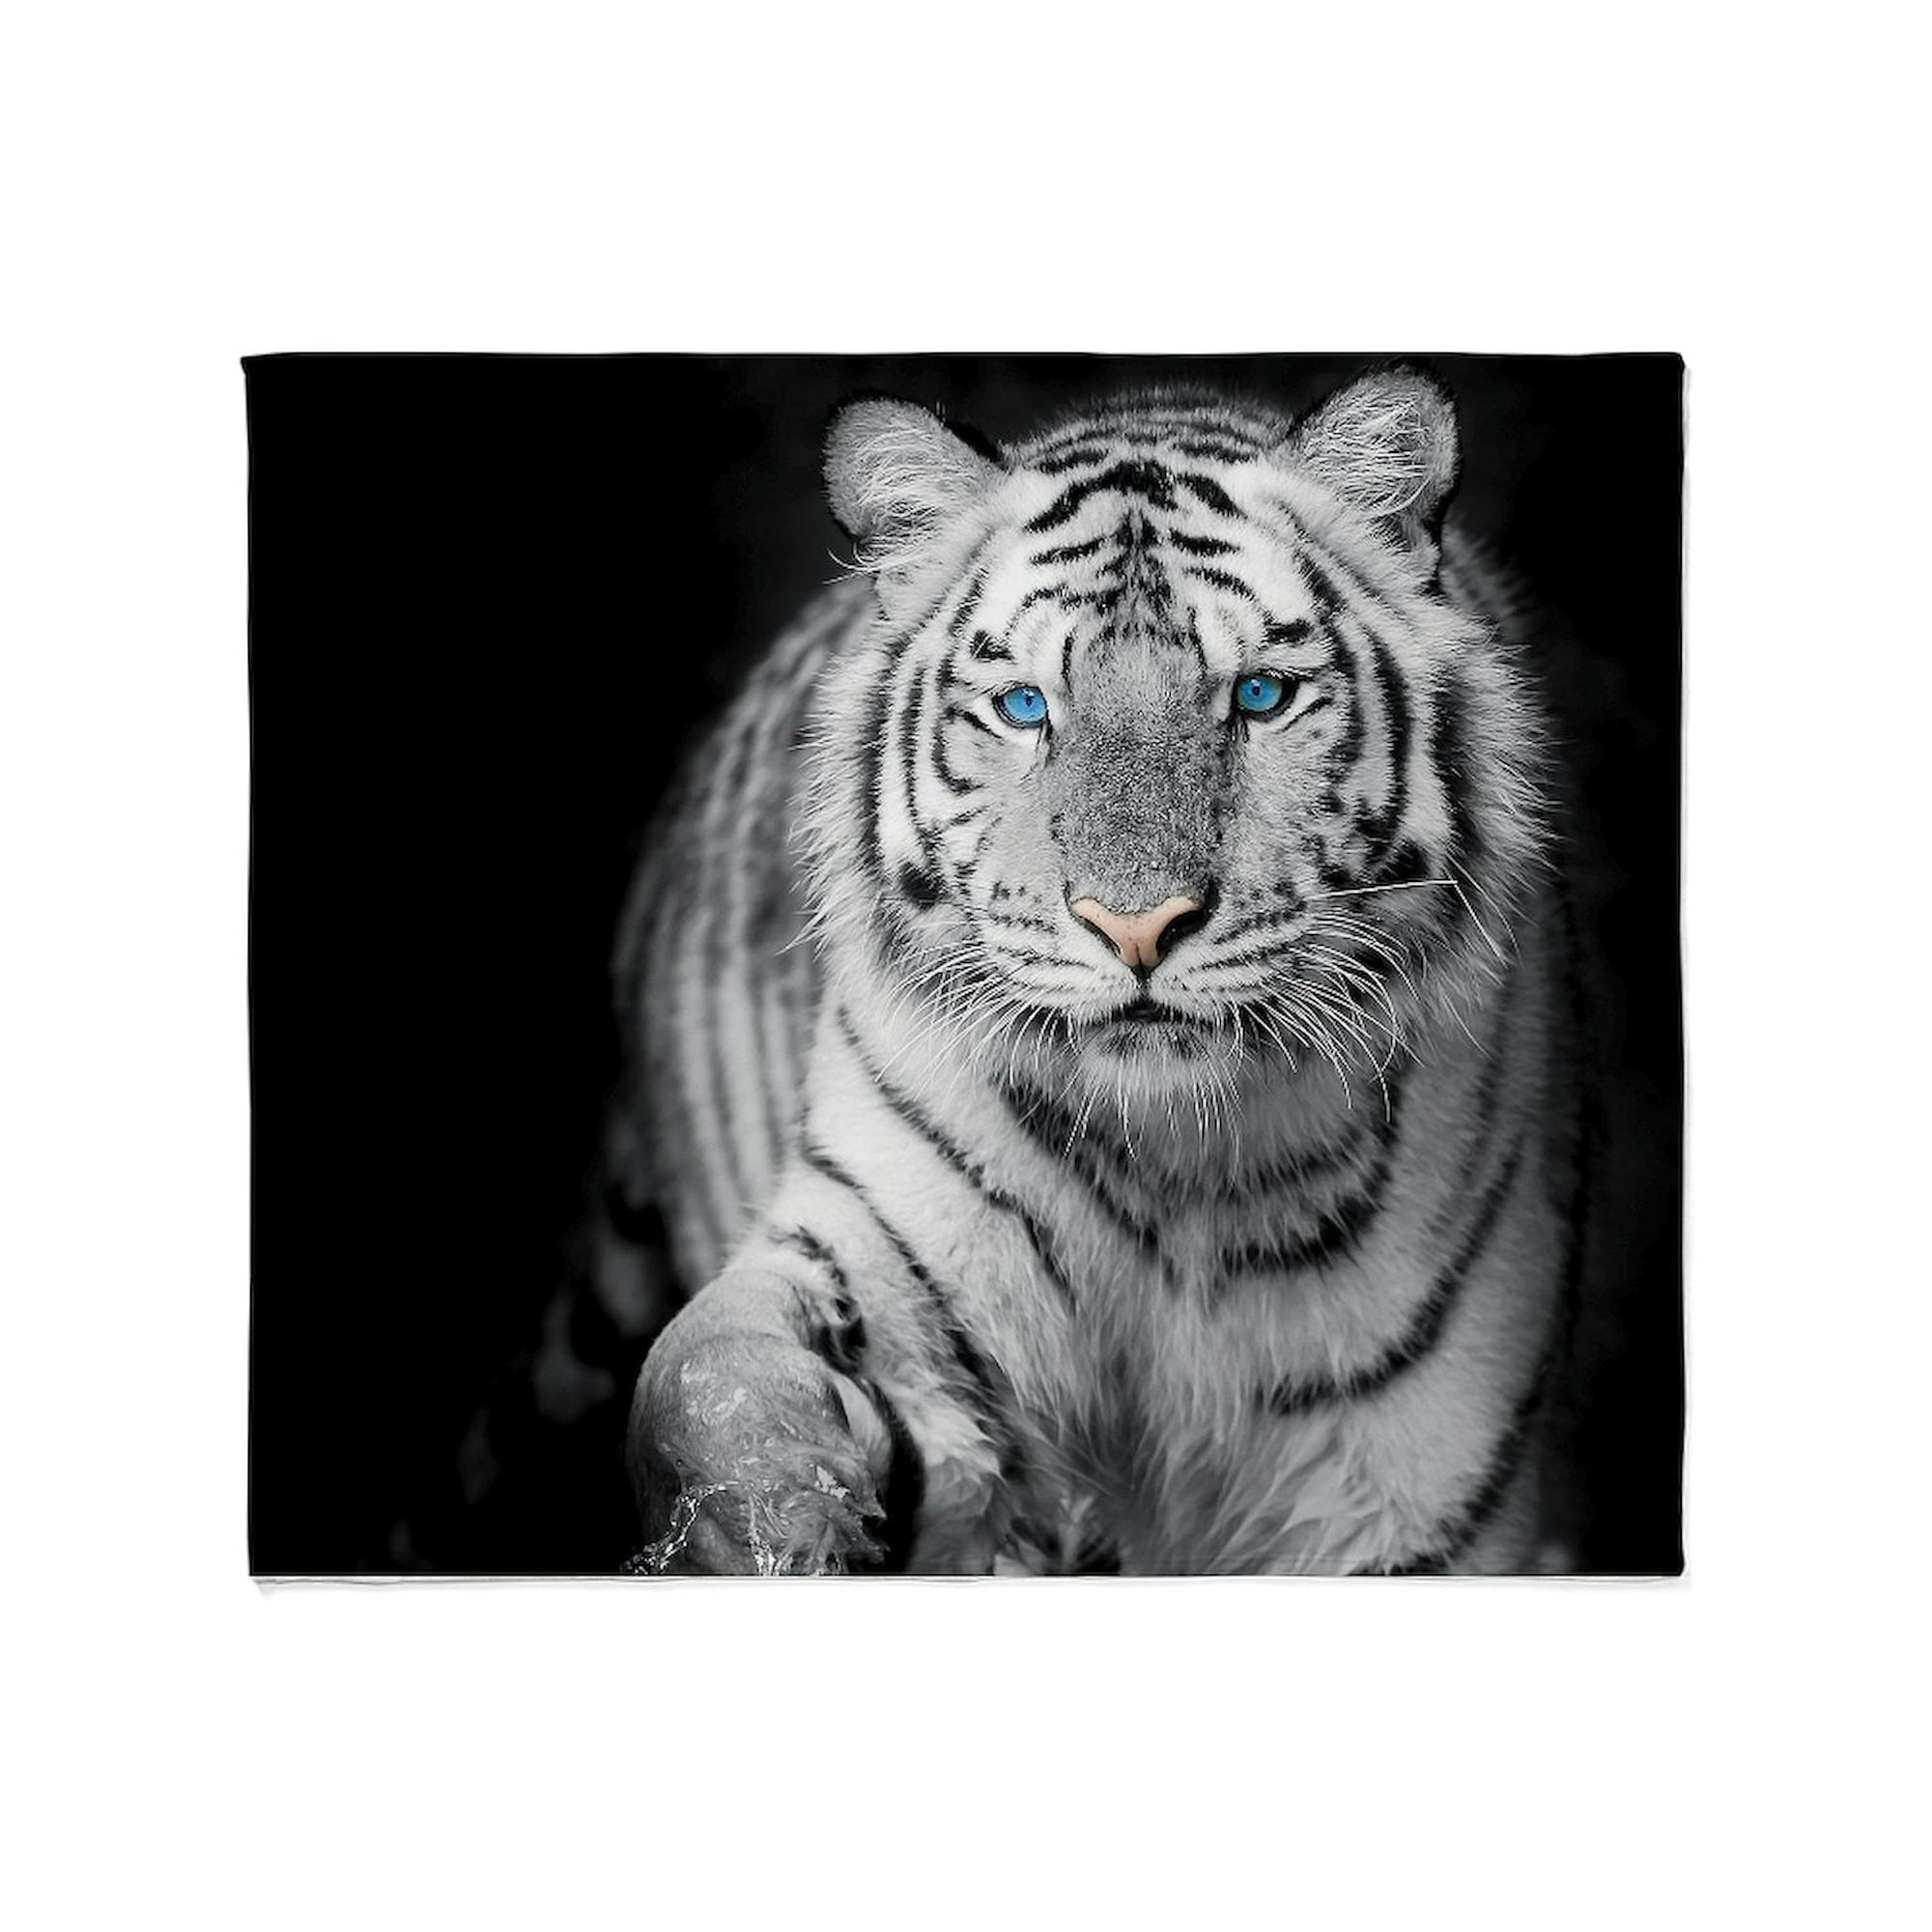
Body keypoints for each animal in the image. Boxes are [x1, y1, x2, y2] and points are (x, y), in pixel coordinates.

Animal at [602, 366, 1594, 1576]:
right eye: (1025, 706)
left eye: (1258, 696)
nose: (1135, 928)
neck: (1178, 1174)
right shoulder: (876, 1244)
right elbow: (709, 1375)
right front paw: (780, 1507)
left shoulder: (1420, 1478)